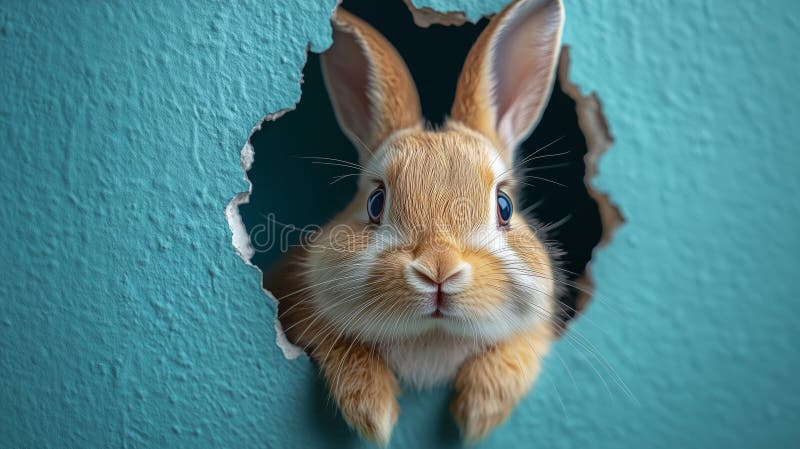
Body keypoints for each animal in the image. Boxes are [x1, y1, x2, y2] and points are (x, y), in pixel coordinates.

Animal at [265, 0, 565, 444]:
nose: (439, 271)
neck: (430, 341)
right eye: (375, 202)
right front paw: (373, 414)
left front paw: (480, 412)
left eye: (504, 206)